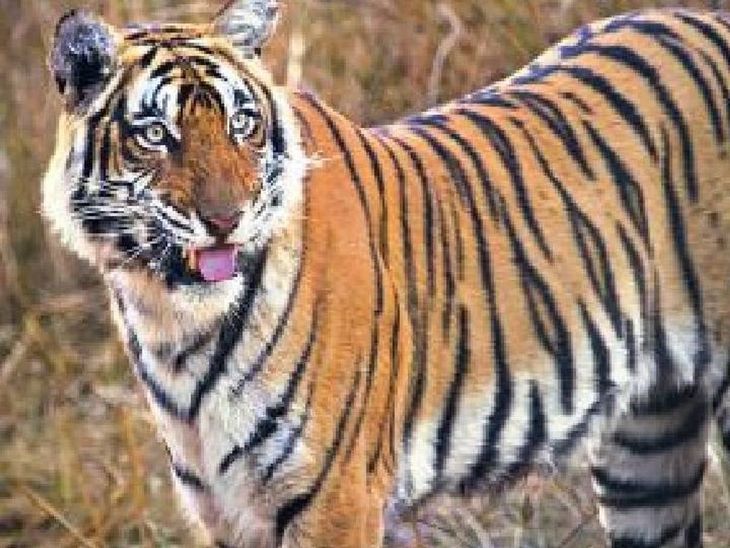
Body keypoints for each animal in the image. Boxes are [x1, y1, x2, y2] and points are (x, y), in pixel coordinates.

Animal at [42, 0, 730, 546]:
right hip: (647, 447)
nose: (226, 219)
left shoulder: (334, 496)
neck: (170, 318)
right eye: (156, 134)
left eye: (241, 123)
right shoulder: (227, 509)